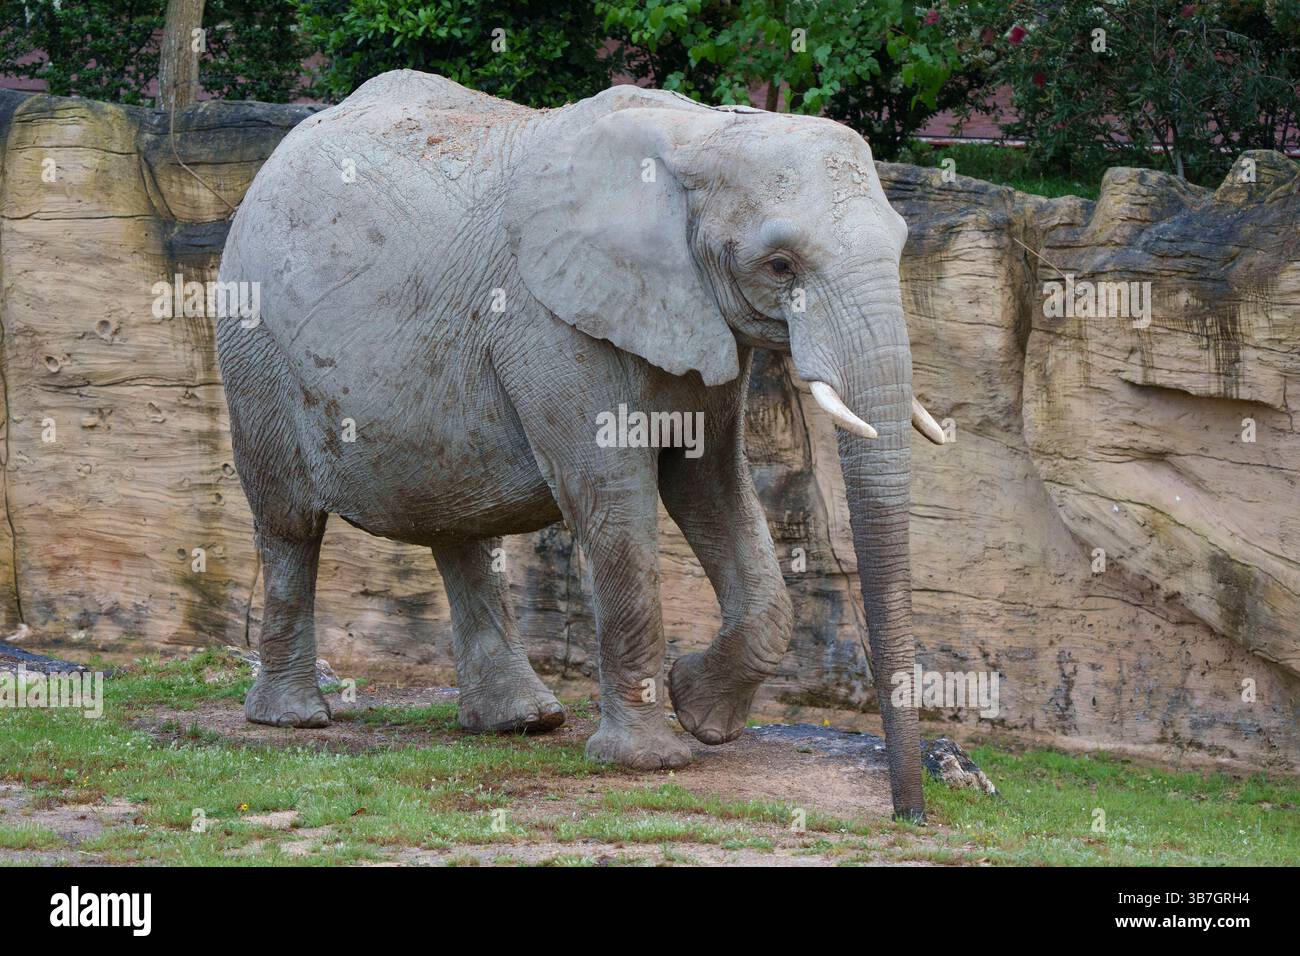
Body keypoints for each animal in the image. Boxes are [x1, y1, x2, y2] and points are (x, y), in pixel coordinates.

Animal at [216, 70, 946, 821]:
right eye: (780, 264)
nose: (908, 813)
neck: (700, 132)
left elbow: (711, 486)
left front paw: (702, 713)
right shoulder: (553, 325)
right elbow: (615, 500)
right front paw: (651, 759)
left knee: (460, 528)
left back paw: (520, 722)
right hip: (254, 349)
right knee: (289, 525)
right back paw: (293, 718)